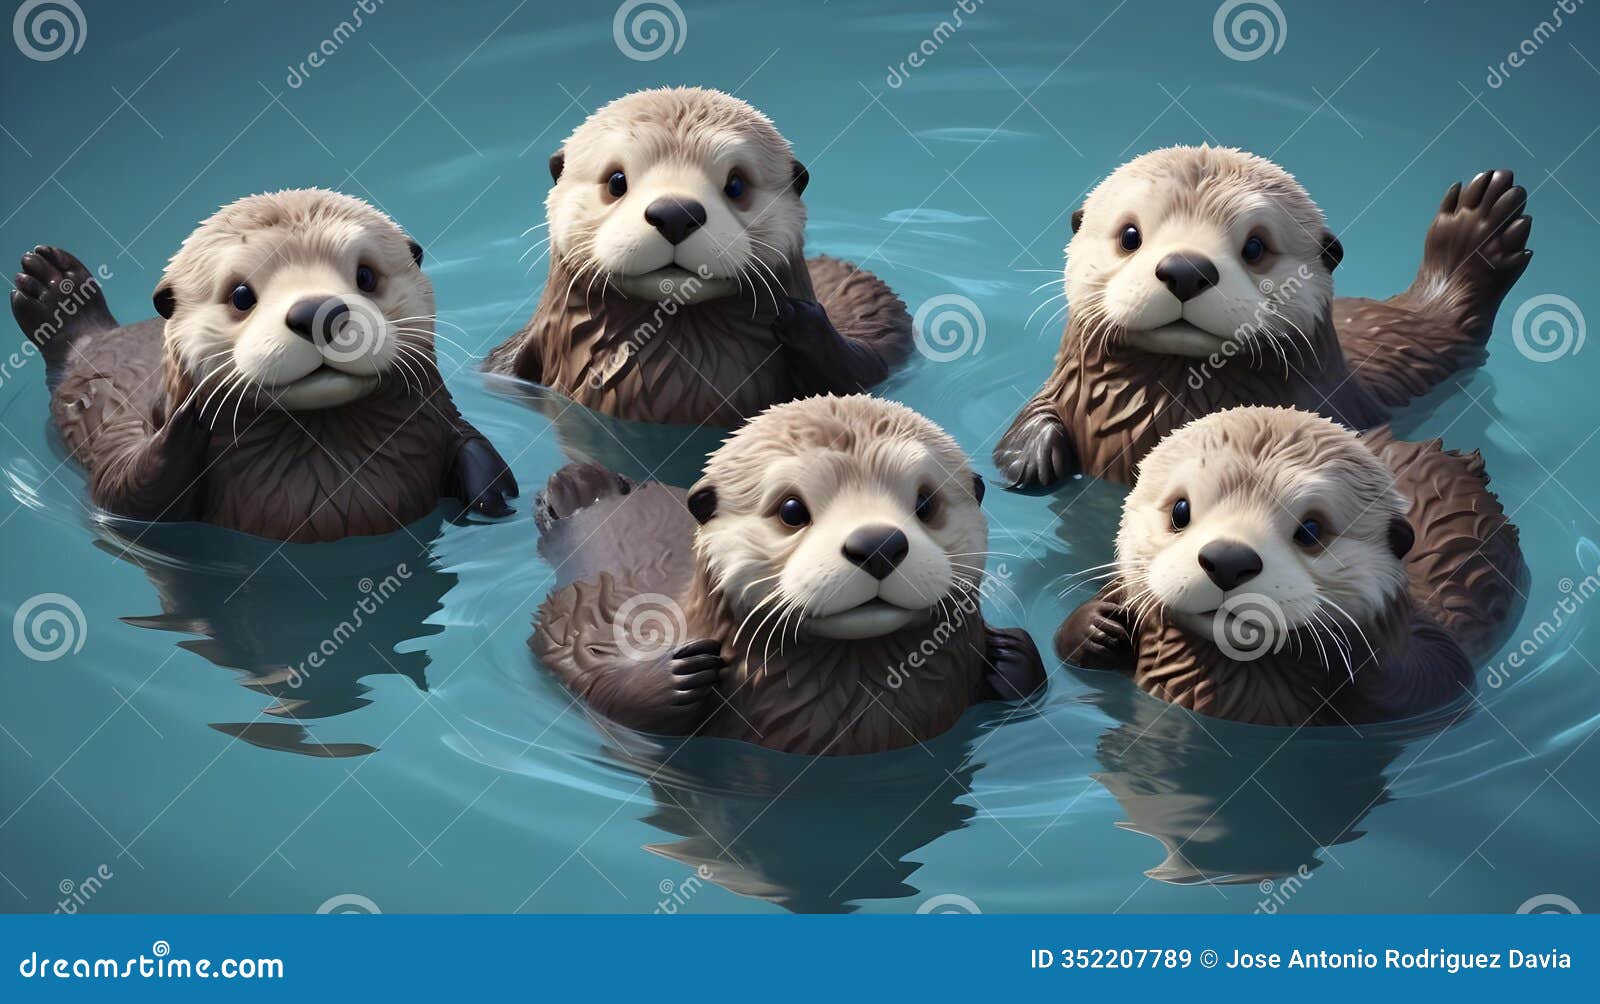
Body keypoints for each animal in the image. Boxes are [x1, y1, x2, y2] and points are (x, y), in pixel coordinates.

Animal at [9, 190, 516, 543]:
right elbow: (122, 489)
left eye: (366, 275)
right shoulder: (123, 473)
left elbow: (473, 446)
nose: (317, 311)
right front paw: (190, 415)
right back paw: (50, 281)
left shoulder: (441, 418)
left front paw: (492, 498)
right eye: (240, 295)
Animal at [529, 395, 1044, 755]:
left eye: (925, 503)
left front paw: (1009, 651)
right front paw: (679, 673)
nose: (877, 544)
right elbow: (604, 681)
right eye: (792, 510)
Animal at [995, 146, 1533, 488]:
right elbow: (1028, 417)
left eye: (1255, 247)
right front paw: (1031, 456)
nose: (1185, 269)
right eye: (1130, 235)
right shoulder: (1065, 388)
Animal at [1057, 406, 1525, 726]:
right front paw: (1101, 621)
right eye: (1180, 510)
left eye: (1311, 530)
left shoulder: (1435, 668)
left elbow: (1433, 677)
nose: (1228, 560)